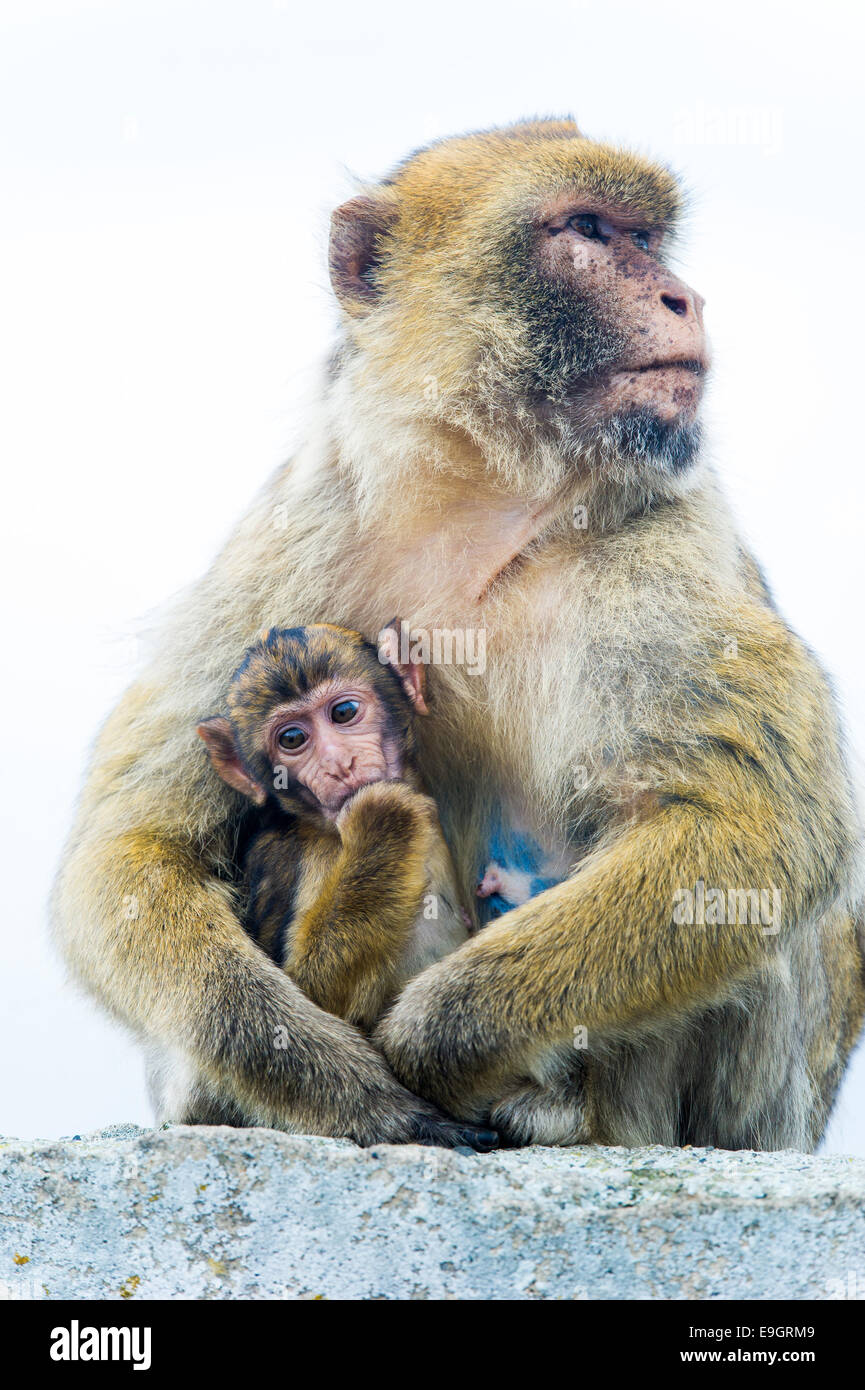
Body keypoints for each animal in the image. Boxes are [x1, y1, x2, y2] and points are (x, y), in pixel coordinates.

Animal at [196, 623, 472, 1035]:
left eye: (344, 712)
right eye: (292, 739)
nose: (339, 764)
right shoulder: (291, 856)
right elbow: (311, 997)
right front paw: (380, 821)